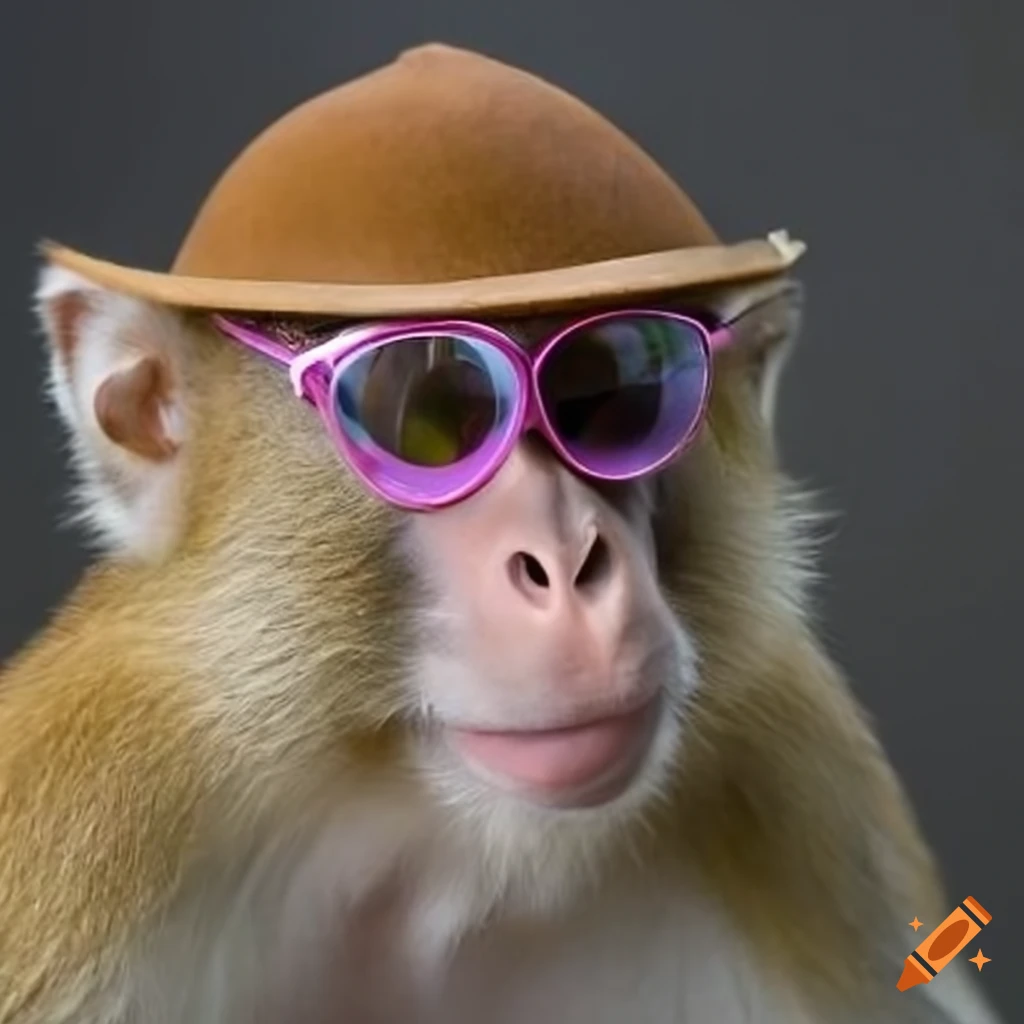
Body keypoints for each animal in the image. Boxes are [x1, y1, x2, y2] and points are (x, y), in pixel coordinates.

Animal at [0, 261, 1003, 1024]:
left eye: (614, 389)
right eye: (428, 408)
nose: (566, 558)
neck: (430, 860)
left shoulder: (797, 792)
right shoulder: (98, 820)